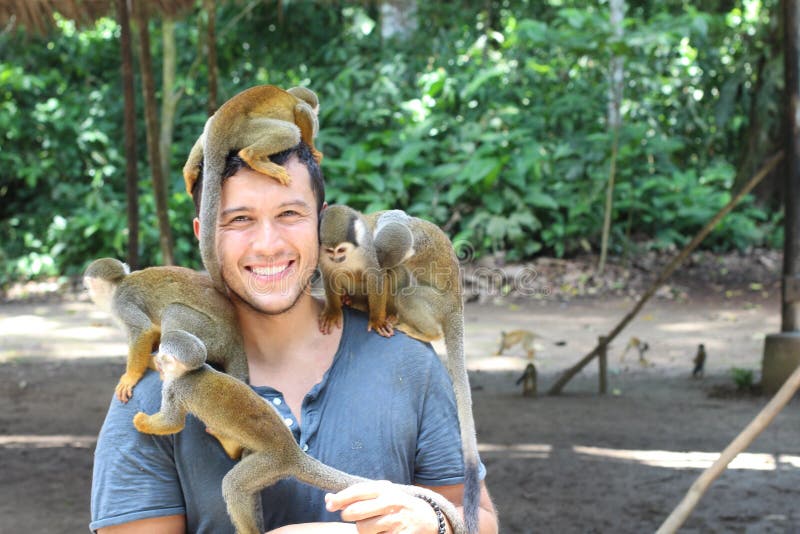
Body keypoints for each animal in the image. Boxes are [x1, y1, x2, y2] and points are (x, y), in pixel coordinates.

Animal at [134, 329, 468, 534]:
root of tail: (292, 452)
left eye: (162, 356)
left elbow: (173, 422)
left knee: (235, 485)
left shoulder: (175, 388)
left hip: (270, 463)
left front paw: (141, 421)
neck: (191, 373)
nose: (155, 360)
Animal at [181, 85, 322, 293]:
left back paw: (189, 171)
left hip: (217, 129)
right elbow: (301, 111)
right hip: (247, 130)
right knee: (289, 132)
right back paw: (254, 157)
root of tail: (222, 121)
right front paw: (312, 147)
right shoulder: (306, 111)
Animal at [318, 205, 481, 534]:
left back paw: (421, 330)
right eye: (331, 250)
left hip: (436, 305)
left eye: (340, 250)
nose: (337, 257)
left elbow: (384, 275)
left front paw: (377, 313)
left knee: (406, 288)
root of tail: (456, 307)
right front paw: (336, 306)